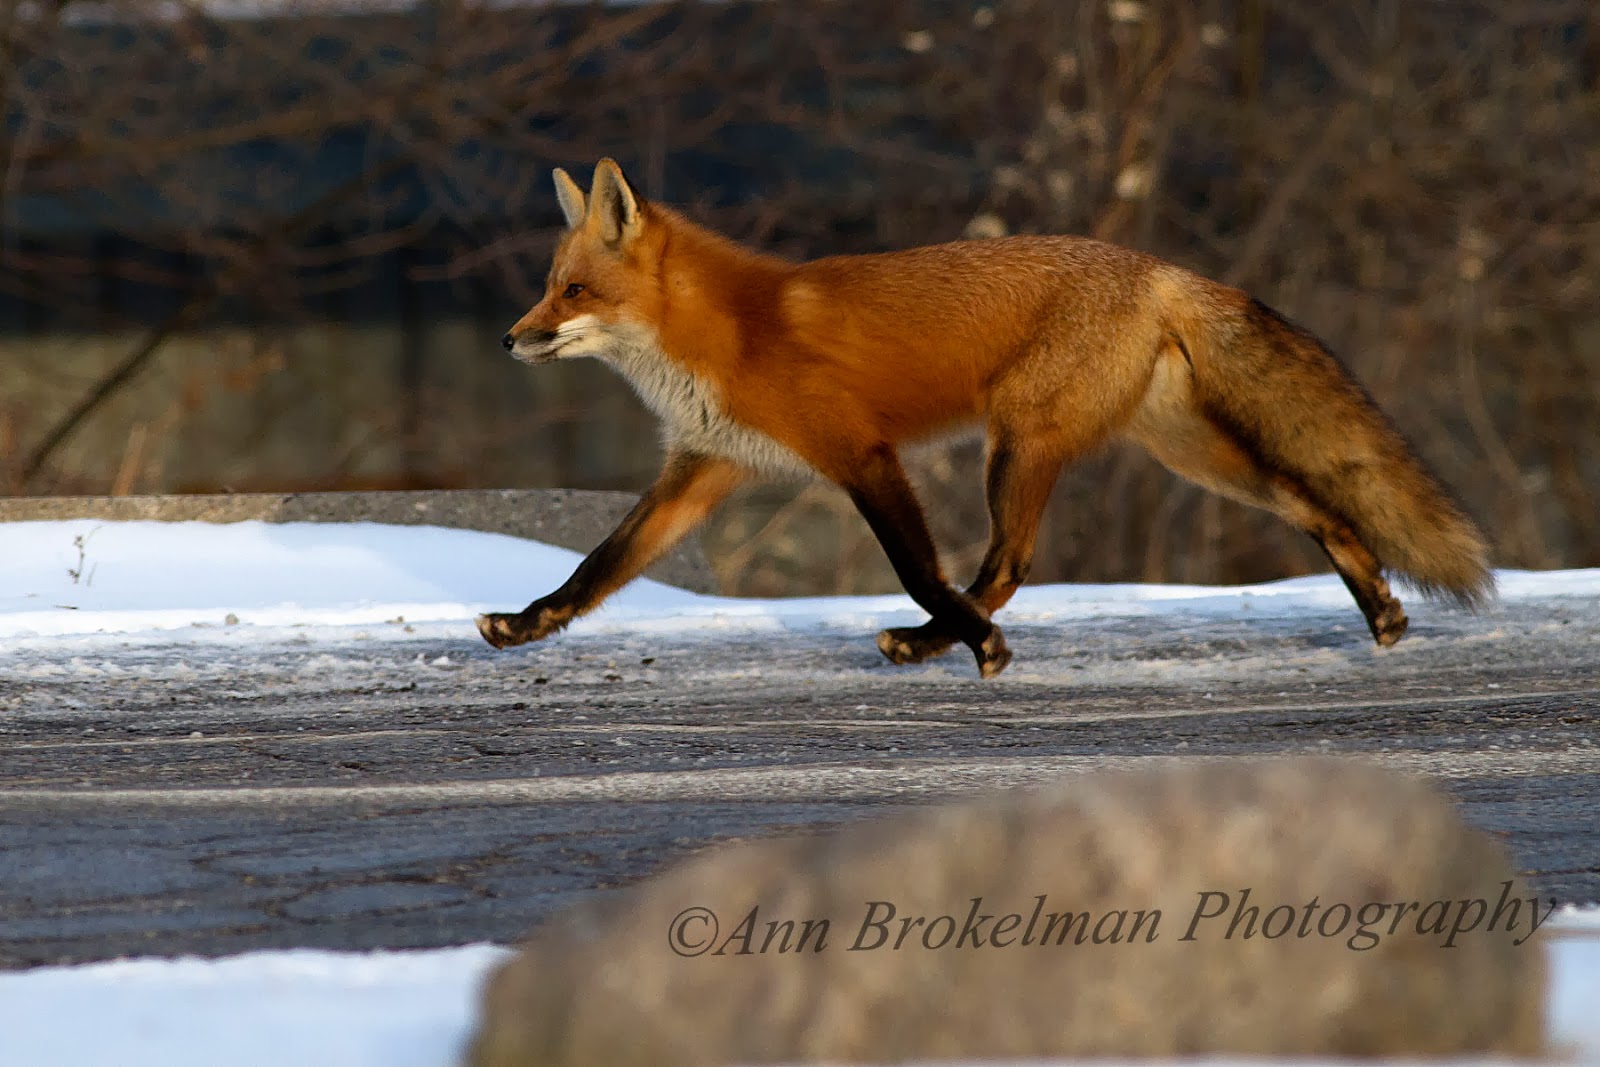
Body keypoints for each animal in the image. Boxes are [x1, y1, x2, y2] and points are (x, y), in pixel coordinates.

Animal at [477, 158, 1492, 679]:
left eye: (572, 290)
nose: (509, 337)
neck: (727, 333)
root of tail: (1157, 267)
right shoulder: (707, 467)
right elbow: (599, 564)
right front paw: (526, 625)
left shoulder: (861, 452)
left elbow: (919, 568)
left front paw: (971, 639)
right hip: (1188, 454)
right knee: (1314, 503)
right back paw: (1381, 609)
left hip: (1019, 444)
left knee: (1008, 563)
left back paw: (947, 639)